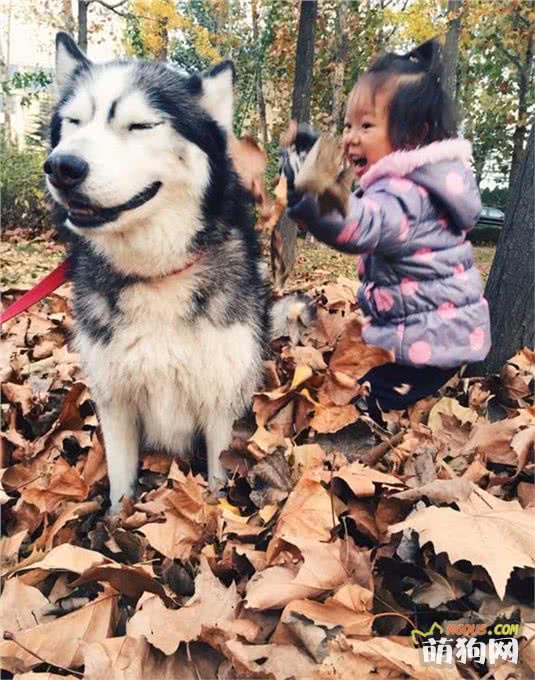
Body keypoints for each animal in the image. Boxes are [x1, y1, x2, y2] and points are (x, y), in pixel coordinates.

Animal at [46, 33, 292, 510]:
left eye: (140, 126)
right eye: (74, 121)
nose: (62, 166)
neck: (157, 275)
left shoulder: (221, 405)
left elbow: (217, 483)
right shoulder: (116, 403)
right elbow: (120, 487)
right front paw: (116, 520)